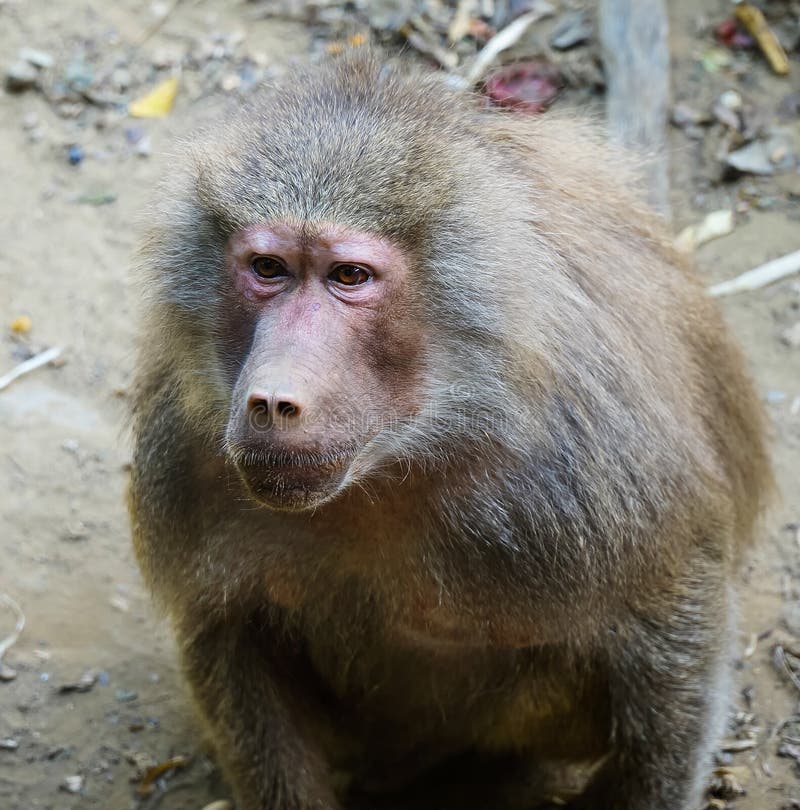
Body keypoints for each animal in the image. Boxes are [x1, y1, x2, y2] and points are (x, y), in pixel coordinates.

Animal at [128, 55, 771, 810]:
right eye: (268, 268)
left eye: (350, 276)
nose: (272, 400)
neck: (406, 451)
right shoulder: (187, 455)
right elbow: (232, 642)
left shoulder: (590, 473)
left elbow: (675, 631)